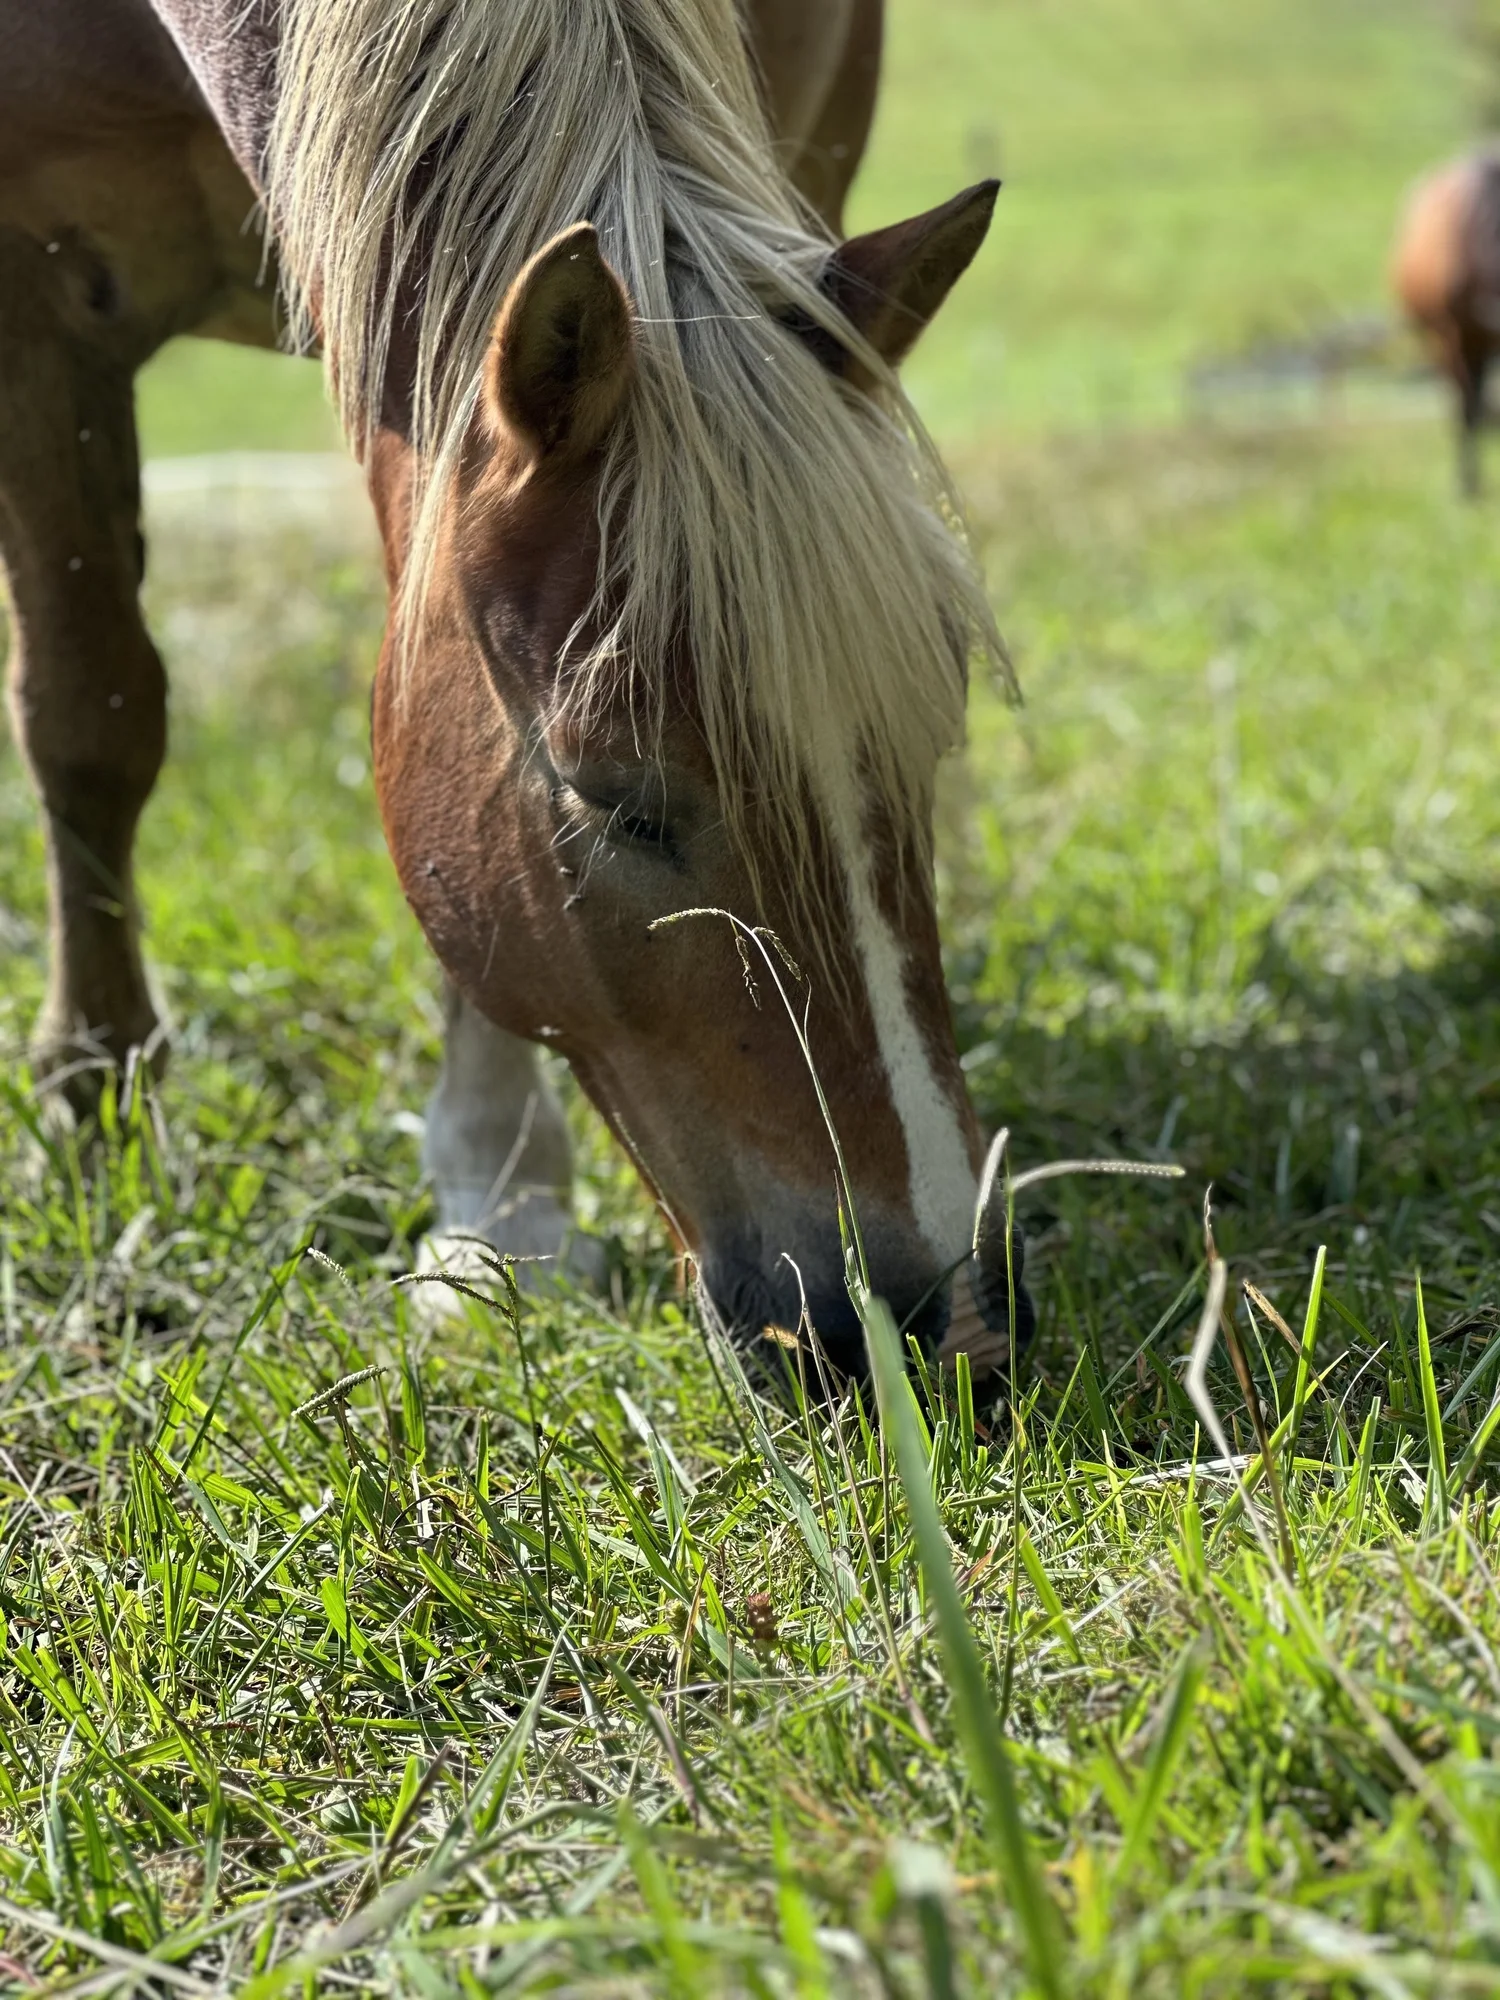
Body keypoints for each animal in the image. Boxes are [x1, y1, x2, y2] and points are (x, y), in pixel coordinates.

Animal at [0, 0, 1033, 1384]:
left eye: (923, 752)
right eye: (615, 801)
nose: (938, 1318)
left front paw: (499, 1195)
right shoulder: (33, 286)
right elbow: (88, 712)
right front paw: (95, 1091)